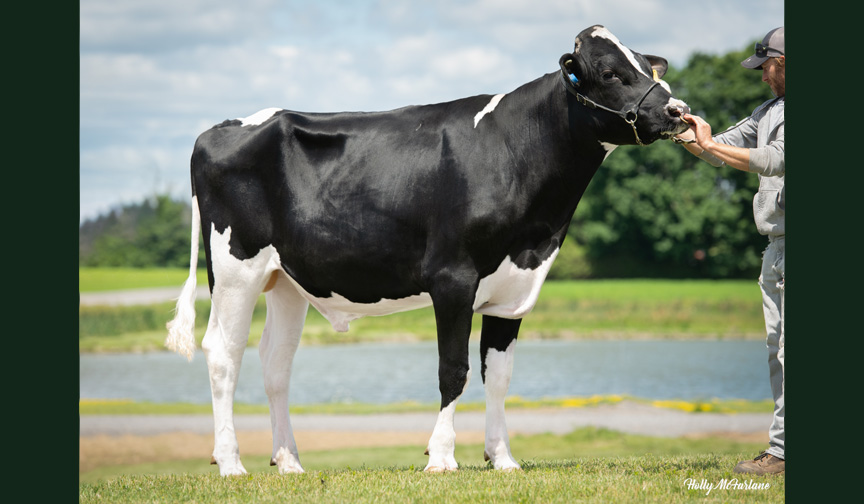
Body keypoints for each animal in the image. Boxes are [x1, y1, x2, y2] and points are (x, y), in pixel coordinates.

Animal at [166, 25, 690, 476]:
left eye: (649, 67)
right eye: (610, 72)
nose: (677, 111)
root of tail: (220, 128)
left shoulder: (513, 286)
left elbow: (498, 374)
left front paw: (502, 458)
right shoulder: (453, 278)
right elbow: (453, 370)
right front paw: (441, 457)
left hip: (286, 279)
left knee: (276, 360)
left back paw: (289, 461)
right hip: (235, 269)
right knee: (223, 353)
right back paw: (231, 463)